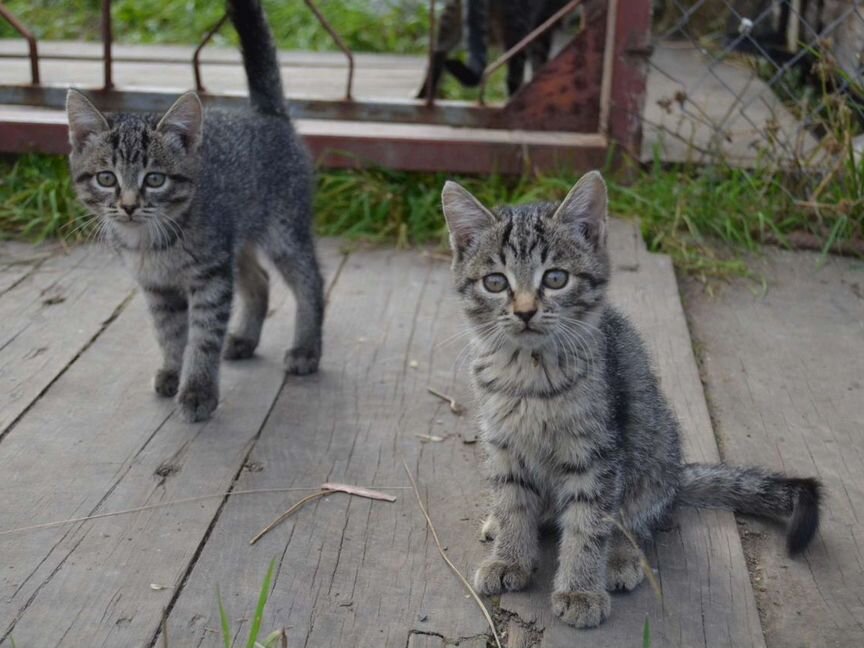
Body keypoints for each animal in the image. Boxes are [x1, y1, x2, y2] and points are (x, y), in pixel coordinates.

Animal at [63, 1, 320, 426]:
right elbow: (170, 331)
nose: (129, 205)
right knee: (260, 279)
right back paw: (245, 339)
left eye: (154, 179)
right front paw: (173, 369)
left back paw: (307, 349)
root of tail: (266, 114)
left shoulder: (211, 278)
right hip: (238, 241)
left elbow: (202, 337)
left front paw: (198, 389)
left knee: (311, 282)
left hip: (284, 230)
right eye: (106, 178)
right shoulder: (157, 286)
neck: (149, 242)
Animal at [442, 172, 820, 628]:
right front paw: (510, 557)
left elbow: (589, 522)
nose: (526, 311)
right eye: (495, 282)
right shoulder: (503, 442)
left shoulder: (599, 452)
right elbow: (514, 500)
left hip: (653, 449)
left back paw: (620, 558)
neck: (529, 372)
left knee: (636, 520)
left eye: (555, 278)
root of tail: (675, 476)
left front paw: (581, 589)